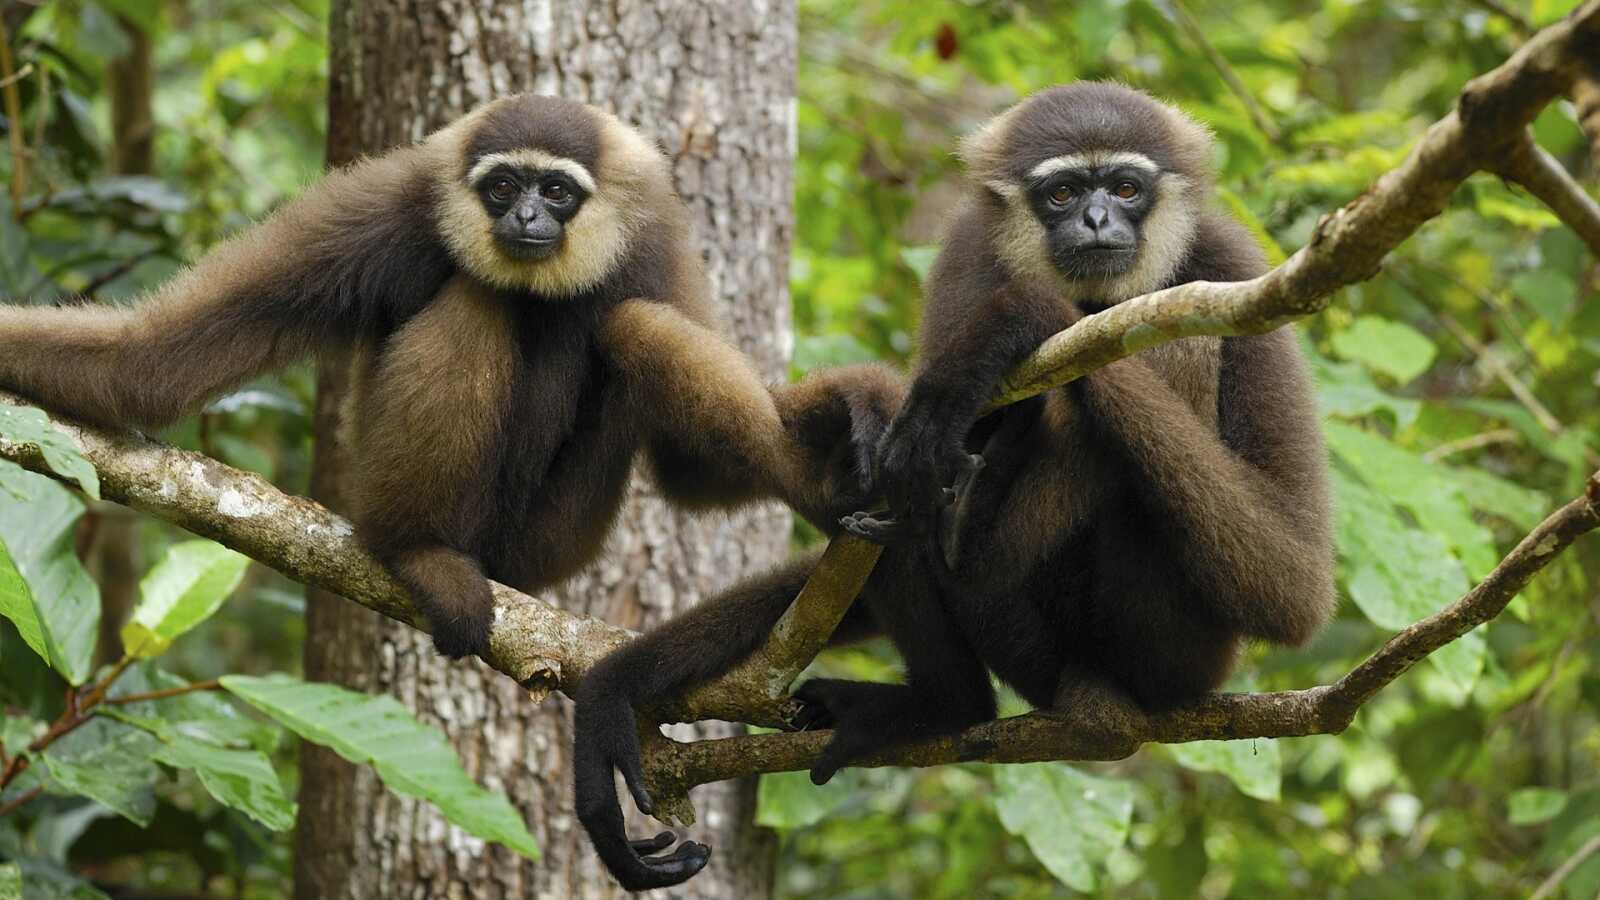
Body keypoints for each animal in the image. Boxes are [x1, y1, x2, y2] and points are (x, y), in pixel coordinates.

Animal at [0, 93, 896, 667]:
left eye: (556, 191)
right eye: (502, 186)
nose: (525, 217)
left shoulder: (658, 246)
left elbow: (690, 475)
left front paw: (842, 403)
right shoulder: (388, 205)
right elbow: (150, 363)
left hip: (547, 544)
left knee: (632, 326)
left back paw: (826, 495)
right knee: (477, 303)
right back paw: (418, 550)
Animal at [573, 81, 1335, 891]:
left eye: (1126, 188)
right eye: (1063, 193)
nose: (1098, 219)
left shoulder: (1231, 261)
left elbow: (1291, 586)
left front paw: (1017, 320)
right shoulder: (970, 249)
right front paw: (616, 688)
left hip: (1181, 654)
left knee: (1175, 354)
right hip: (1028, 647)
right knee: (910, 505)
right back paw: (946, 693)